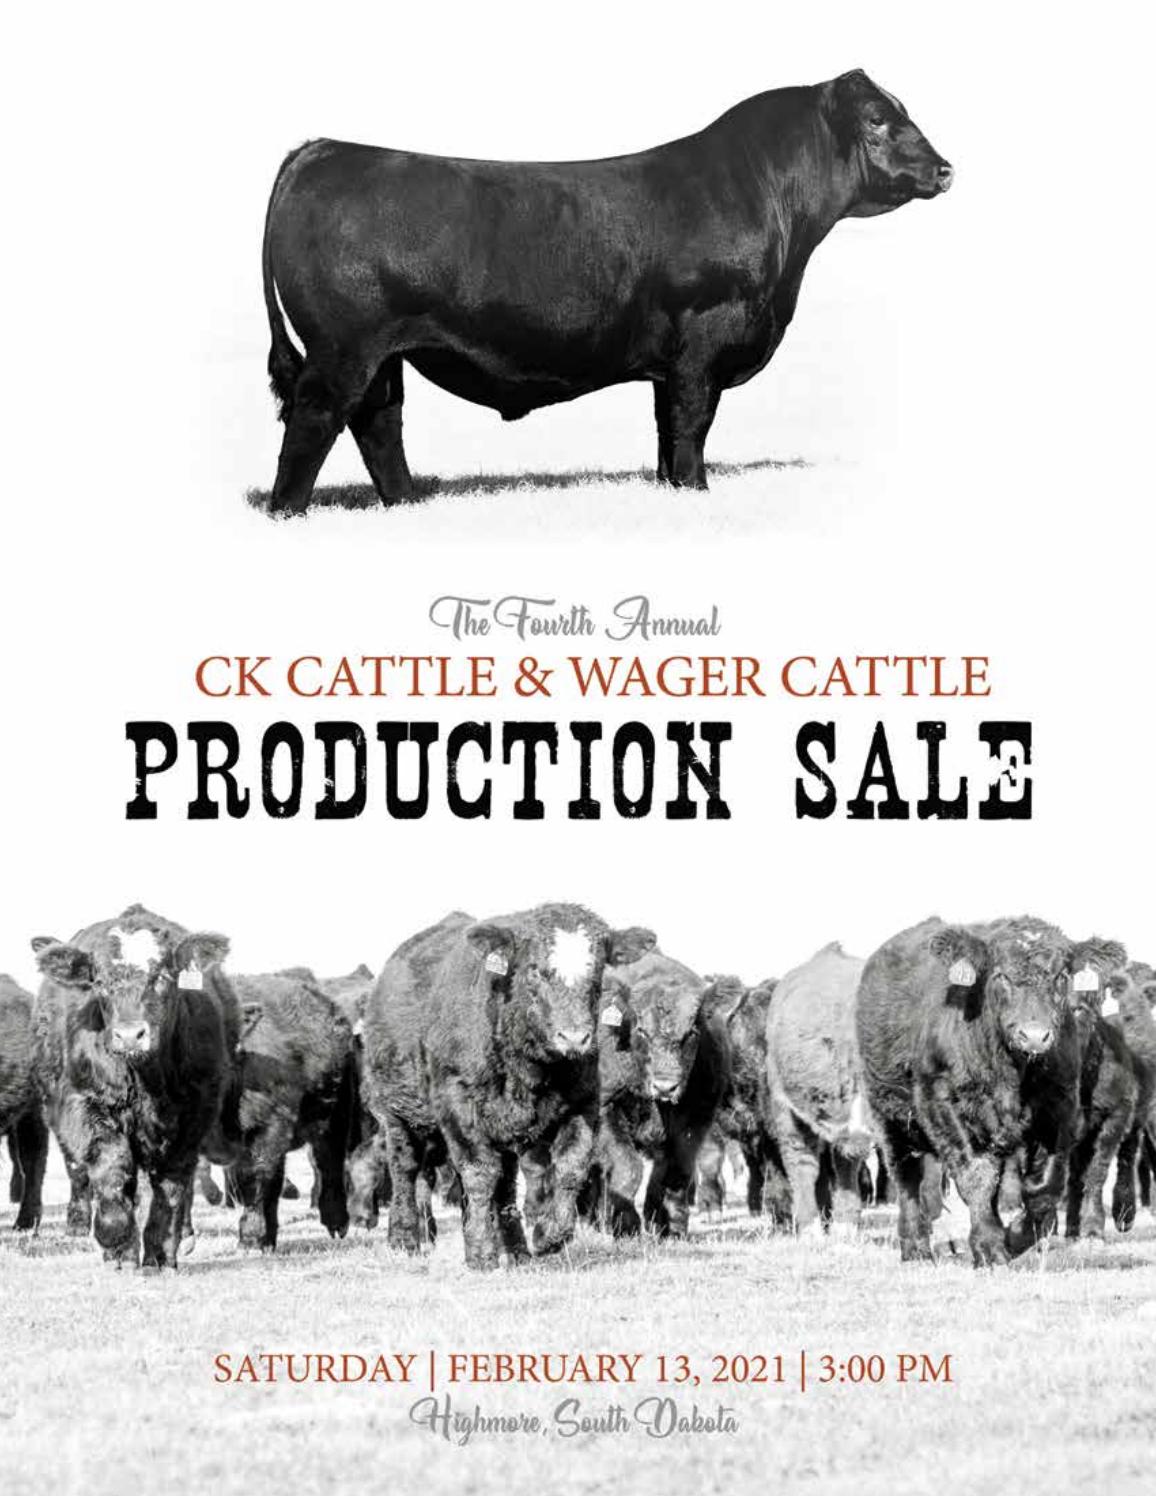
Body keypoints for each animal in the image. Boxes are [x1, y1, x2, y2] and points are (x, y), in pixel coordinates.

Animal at [31, 906, 233, 1268]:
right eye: (99, 982)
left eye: (163, 977)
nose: (129, 1035)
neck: (145, 1081)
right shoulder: (84, 1103)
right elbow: (111, 1167)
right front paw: (116, 1240)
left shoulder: (194, 1114)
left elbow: (171, 1185)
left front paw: (160, 1252)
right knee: (83, 1172)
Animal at [202, 968, 355, 1249]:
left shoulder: (269, 1126)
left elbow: (255, 1178)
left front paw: (250, 1237)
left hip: (336, 1113)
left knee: (329, 1161)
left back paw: (336, 1219)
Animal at [261, 69, 952, 513]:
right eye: (877, 120)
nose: (945, 169)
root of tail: (324, 148)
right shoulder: (703, 340)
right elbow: (693, 421)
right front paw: (697, 493)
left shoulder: (672, 363)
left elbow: (667, 427)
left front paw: (673, 491)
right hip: (343, 347)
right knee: (316, 418)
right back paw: (287, 512)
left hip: (383, 353)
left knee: (379, 421)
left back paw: (407, 504)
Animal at [363, 905, 655, 1269]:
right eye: (535, 969)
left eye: (598, 971)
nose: (574, 1037)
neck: (530, 1070)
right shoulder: (457, 1103)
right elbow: (477, 1173)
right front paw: (480, 1253)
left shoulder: (583, 1102)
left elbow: (570, 1167)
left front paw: (548, 1235)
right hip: (397, 1110)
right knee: (405, 1167)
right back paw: (404, 1240)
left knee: (504, 1180)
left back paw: (516, 1250)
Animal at [856, 916, 1124, 1266]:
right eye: (1001, 975)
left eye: (1061, 977)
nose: (1034, 1036)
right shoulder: (941, 1102)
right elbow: (977, 1175)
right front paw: (989, 1246)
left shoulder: (1061, 1106)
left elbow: (1045, 1185)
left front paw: (1016, 1236)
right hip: (889, 1113)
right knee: (906, 1176)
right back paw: (916, 1248)